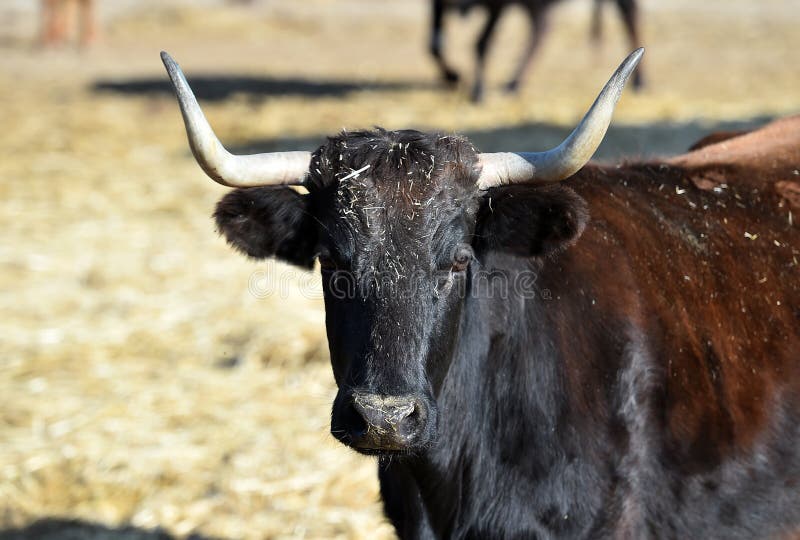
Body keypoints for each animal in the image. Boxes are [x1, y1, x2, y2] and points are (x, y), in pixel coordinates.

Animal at [430, 0, 643, 102]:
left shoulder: (497, 5)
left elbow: (481, 43)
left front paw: (477, 91)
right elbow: (435, 44)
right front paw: (454, 77)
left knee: (630, 12)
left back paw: (641, 81)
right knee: (541, 28)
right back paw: (514, 82)